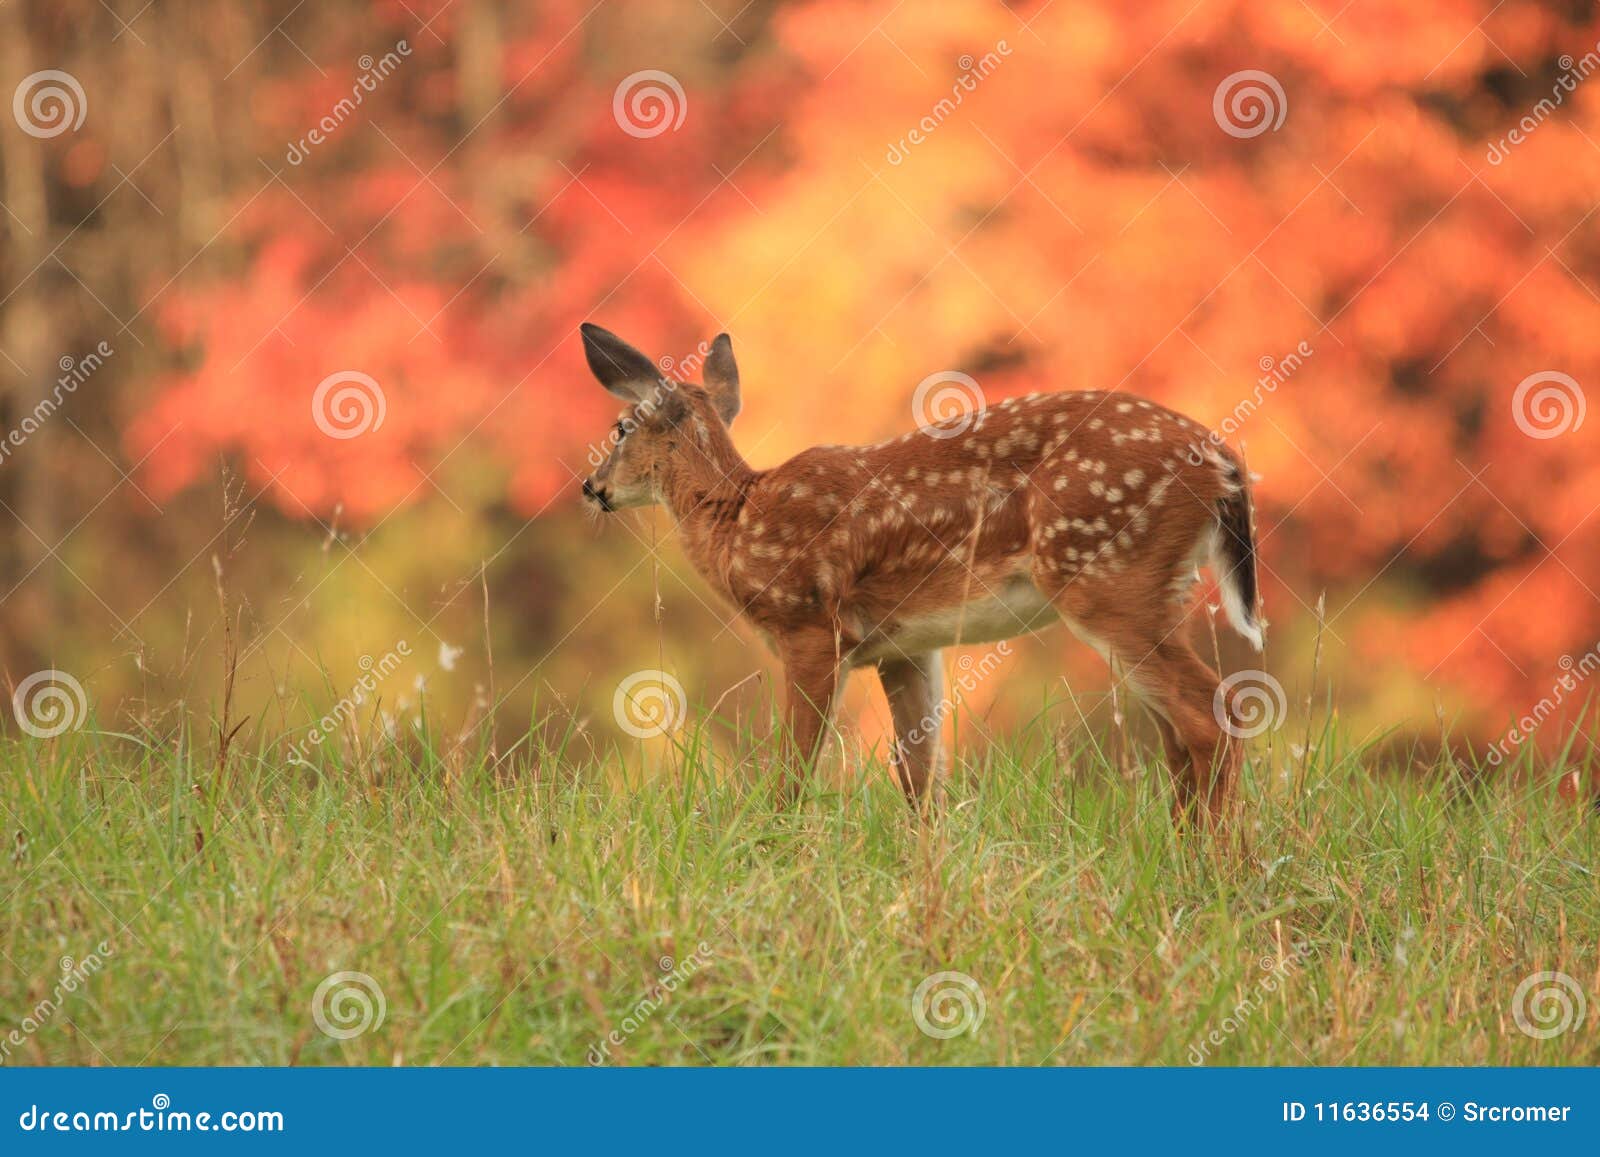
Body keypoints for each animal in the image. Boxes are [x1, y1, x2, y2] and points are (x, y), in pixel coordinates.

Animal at [578, 322, 1265, 824]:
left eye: (619, 428)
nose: (592, 487)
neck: (739, 519)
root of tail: (1225, 462)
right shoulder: (903, 648)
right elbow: (918, 775)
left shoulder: (810, 626)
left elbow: (795, 767)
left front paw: (774, 843)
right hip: (1153, 589)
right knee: (1179, 732)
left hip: (1107, 578)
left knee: (1212, 714)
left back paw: (1214, 866)